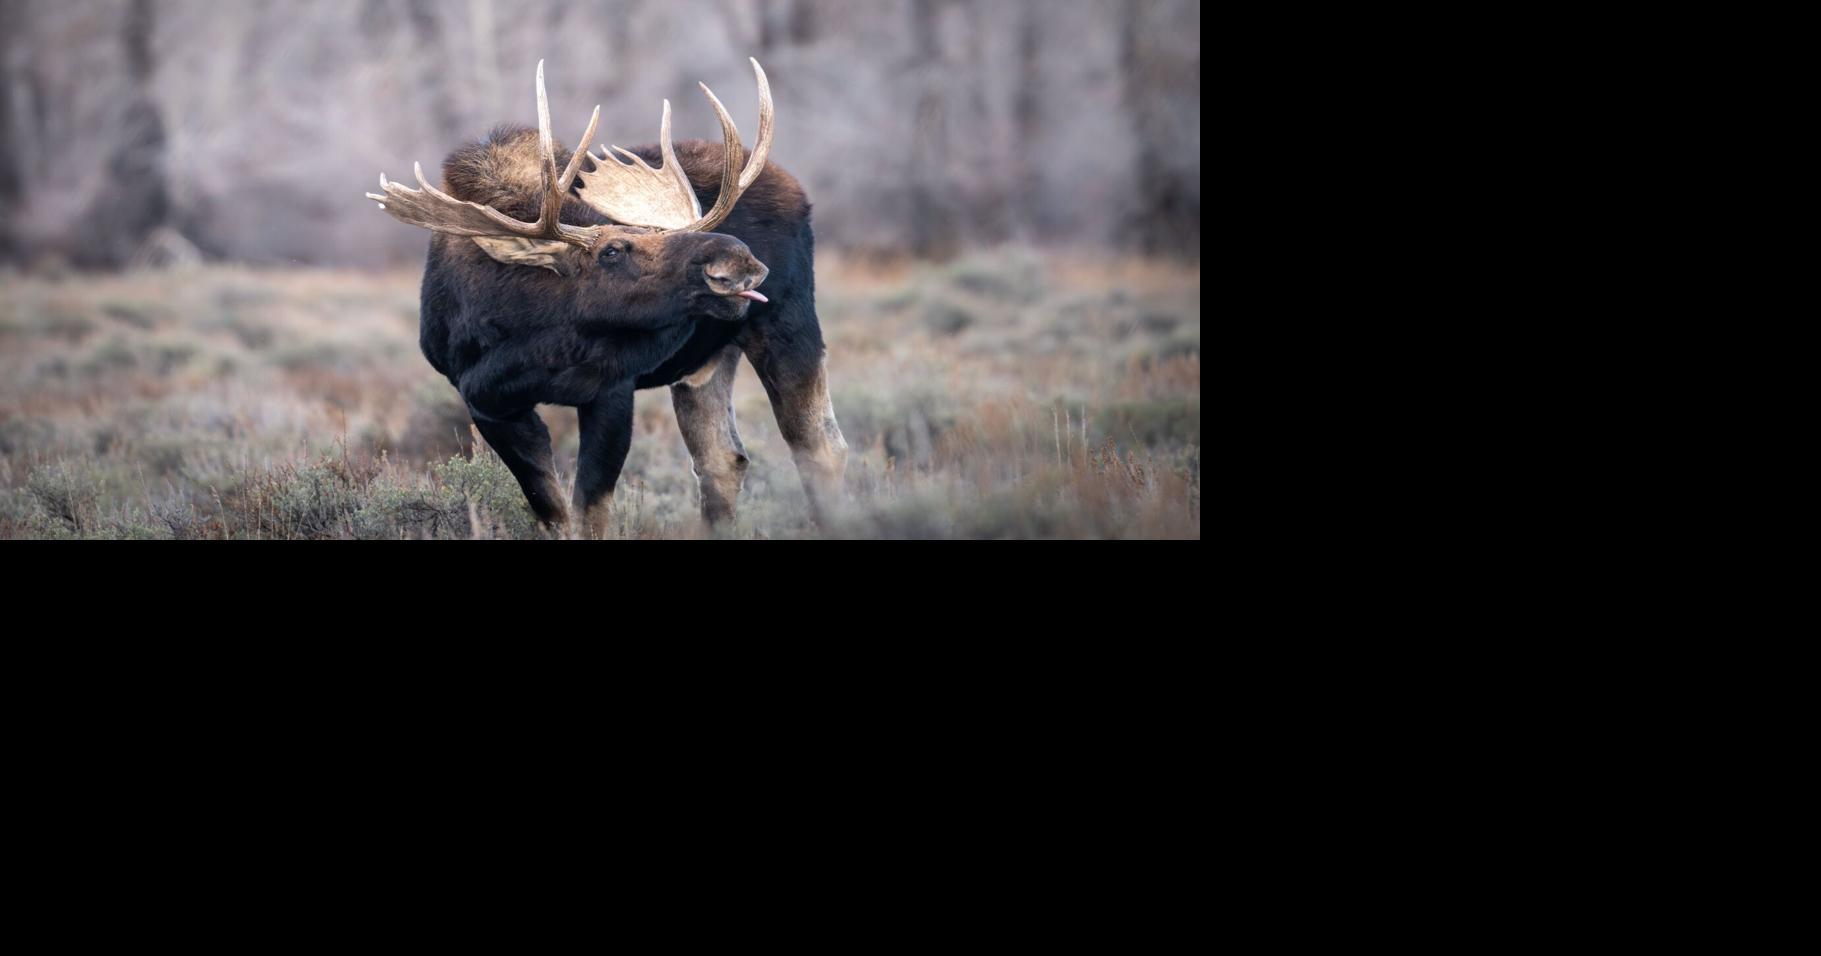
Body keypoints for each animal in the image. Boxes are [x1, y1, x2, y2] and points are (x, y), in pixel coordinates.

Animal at [366, 60, 846, 538]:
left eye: (658, 230)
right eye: (612, 250)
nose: (737, 259)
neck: (532, 342)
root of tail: (796, 189)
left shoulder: (612, 389)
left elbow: (590, 511)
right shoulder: (484, 402)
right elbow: (553, 510)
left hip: (787, 322)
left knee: (821, 448)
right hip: (706, 361)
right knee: (723, 460)